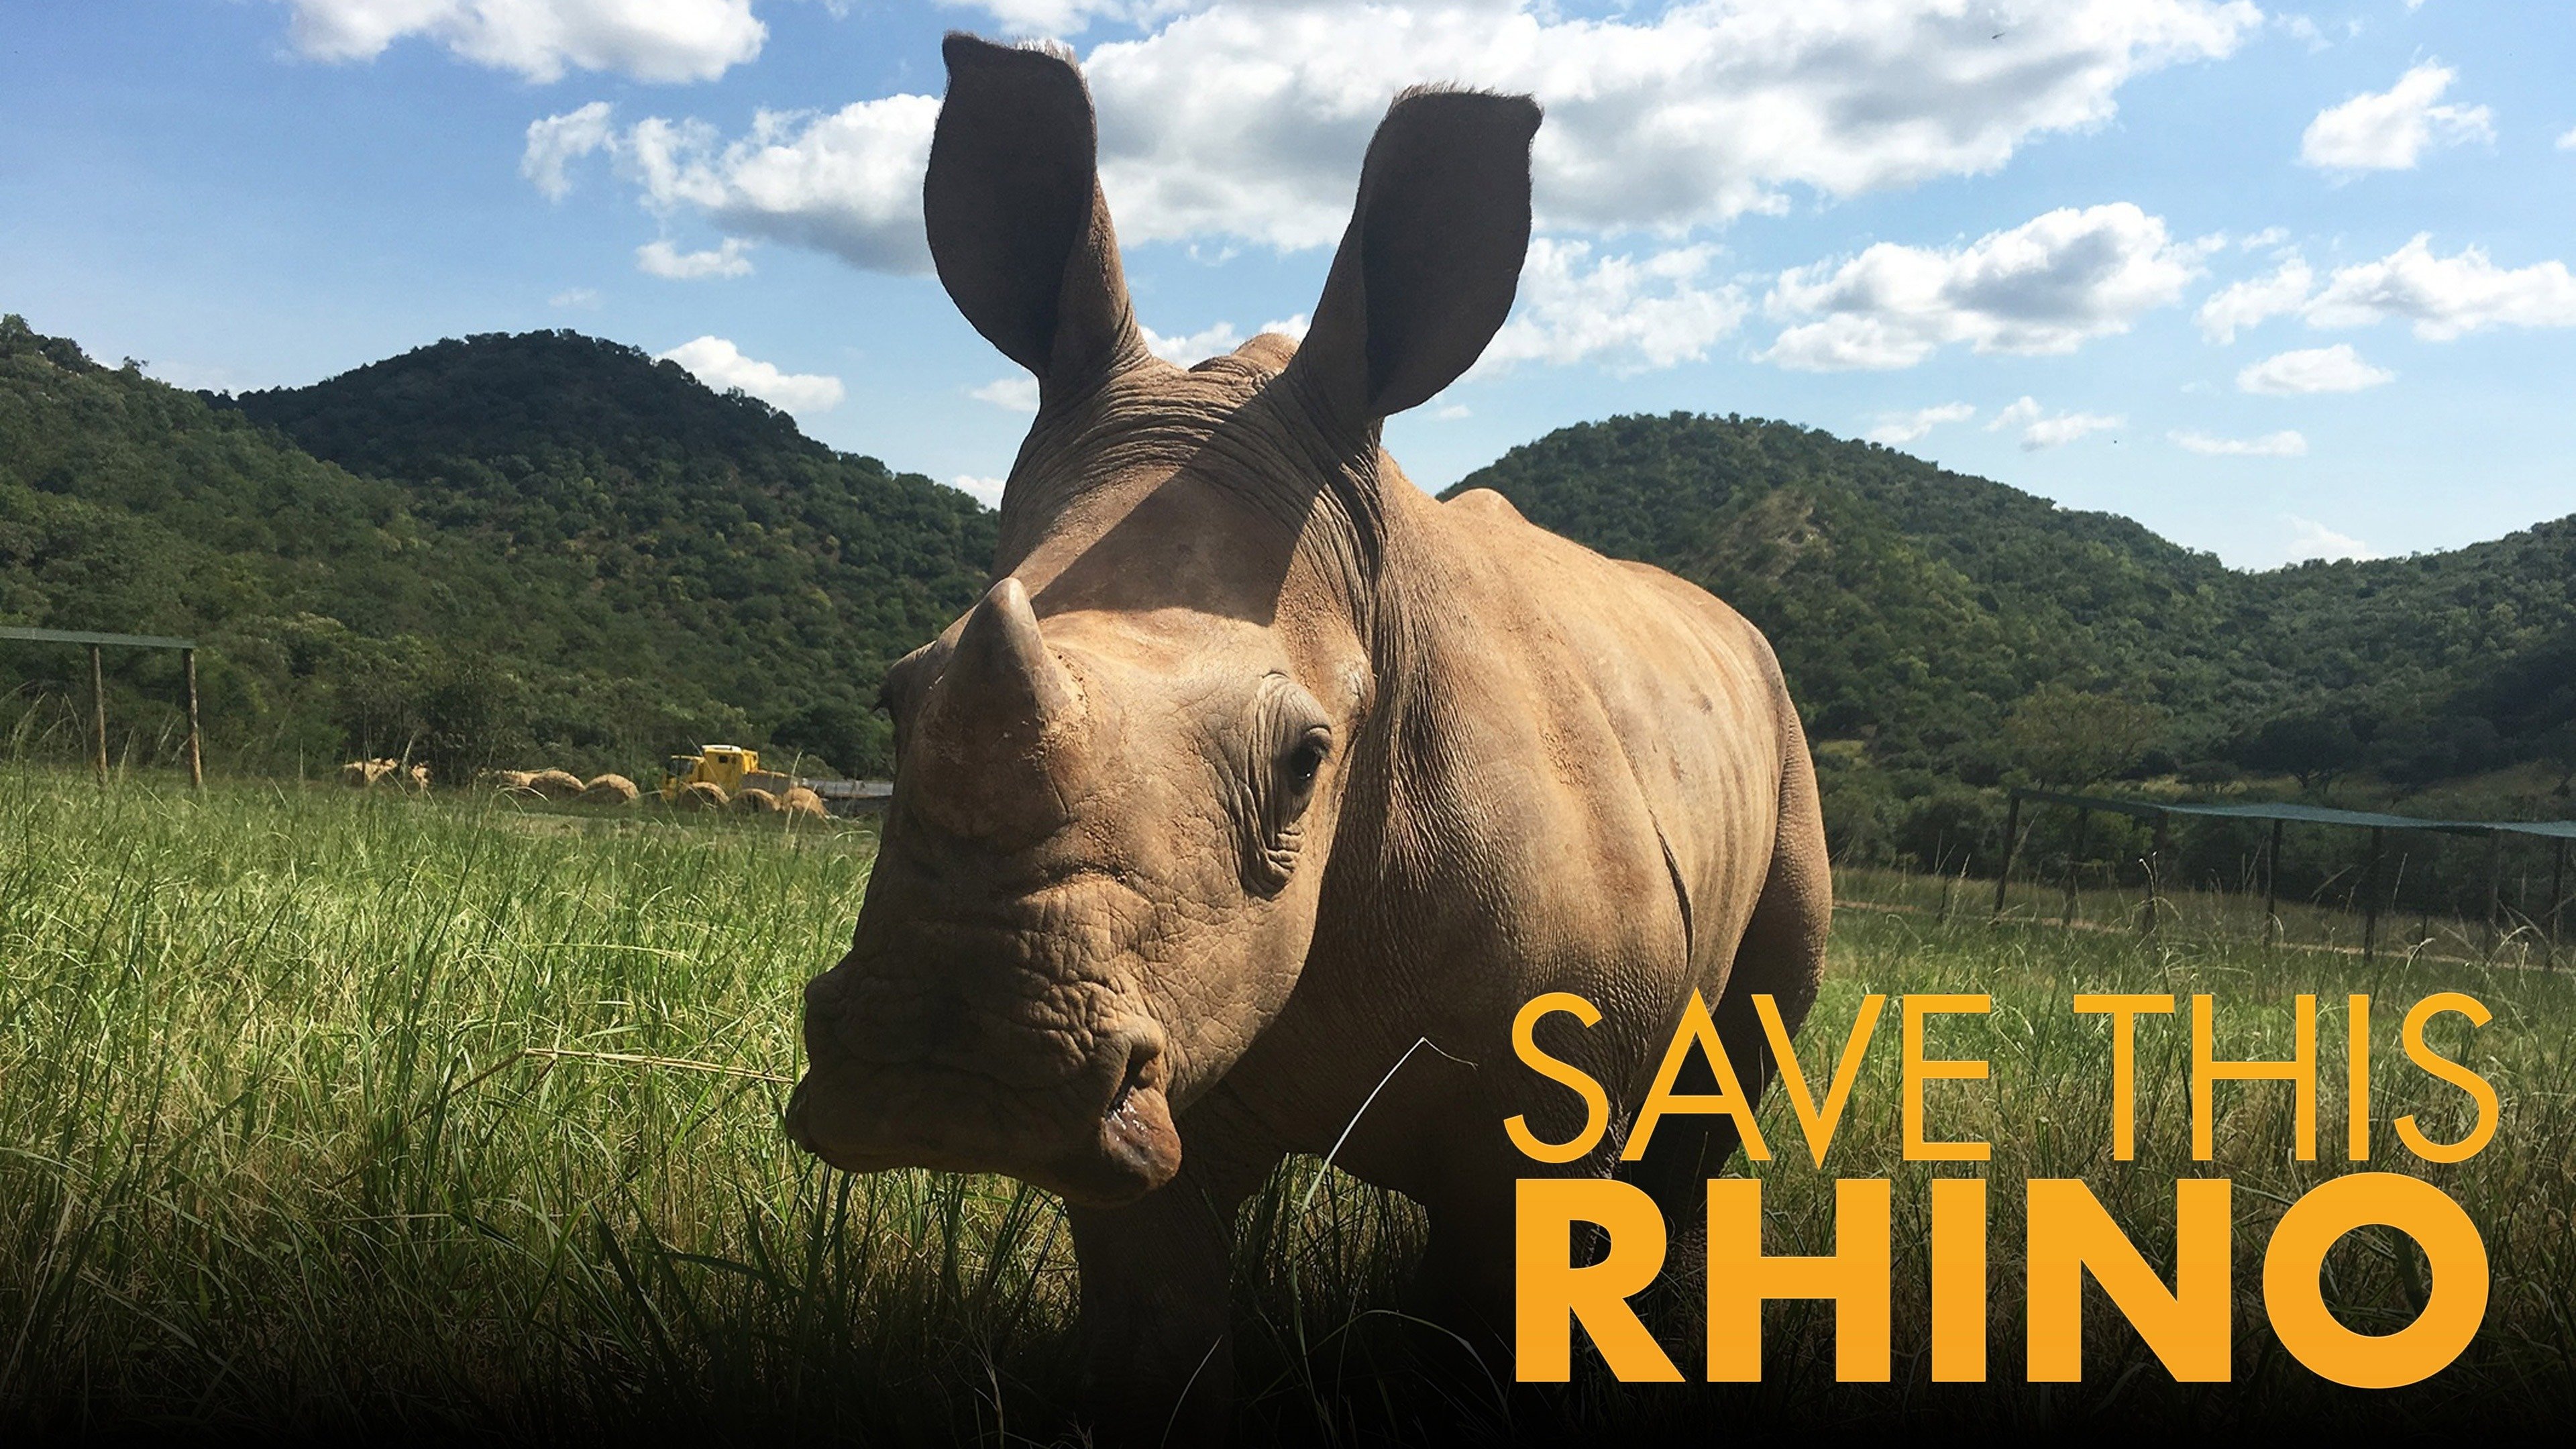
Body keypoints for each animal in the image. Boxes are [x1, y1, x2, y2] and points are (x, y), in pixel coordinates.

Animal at [785, 33, 1830, 1431]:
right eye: (899, 703)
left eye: (1303, 763)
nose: (951, 1076)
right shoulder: (1151, 1065)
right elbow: (1161, 1324)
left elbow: (1499, 1313)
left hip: (1783, 728)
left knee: (1725, 1094)